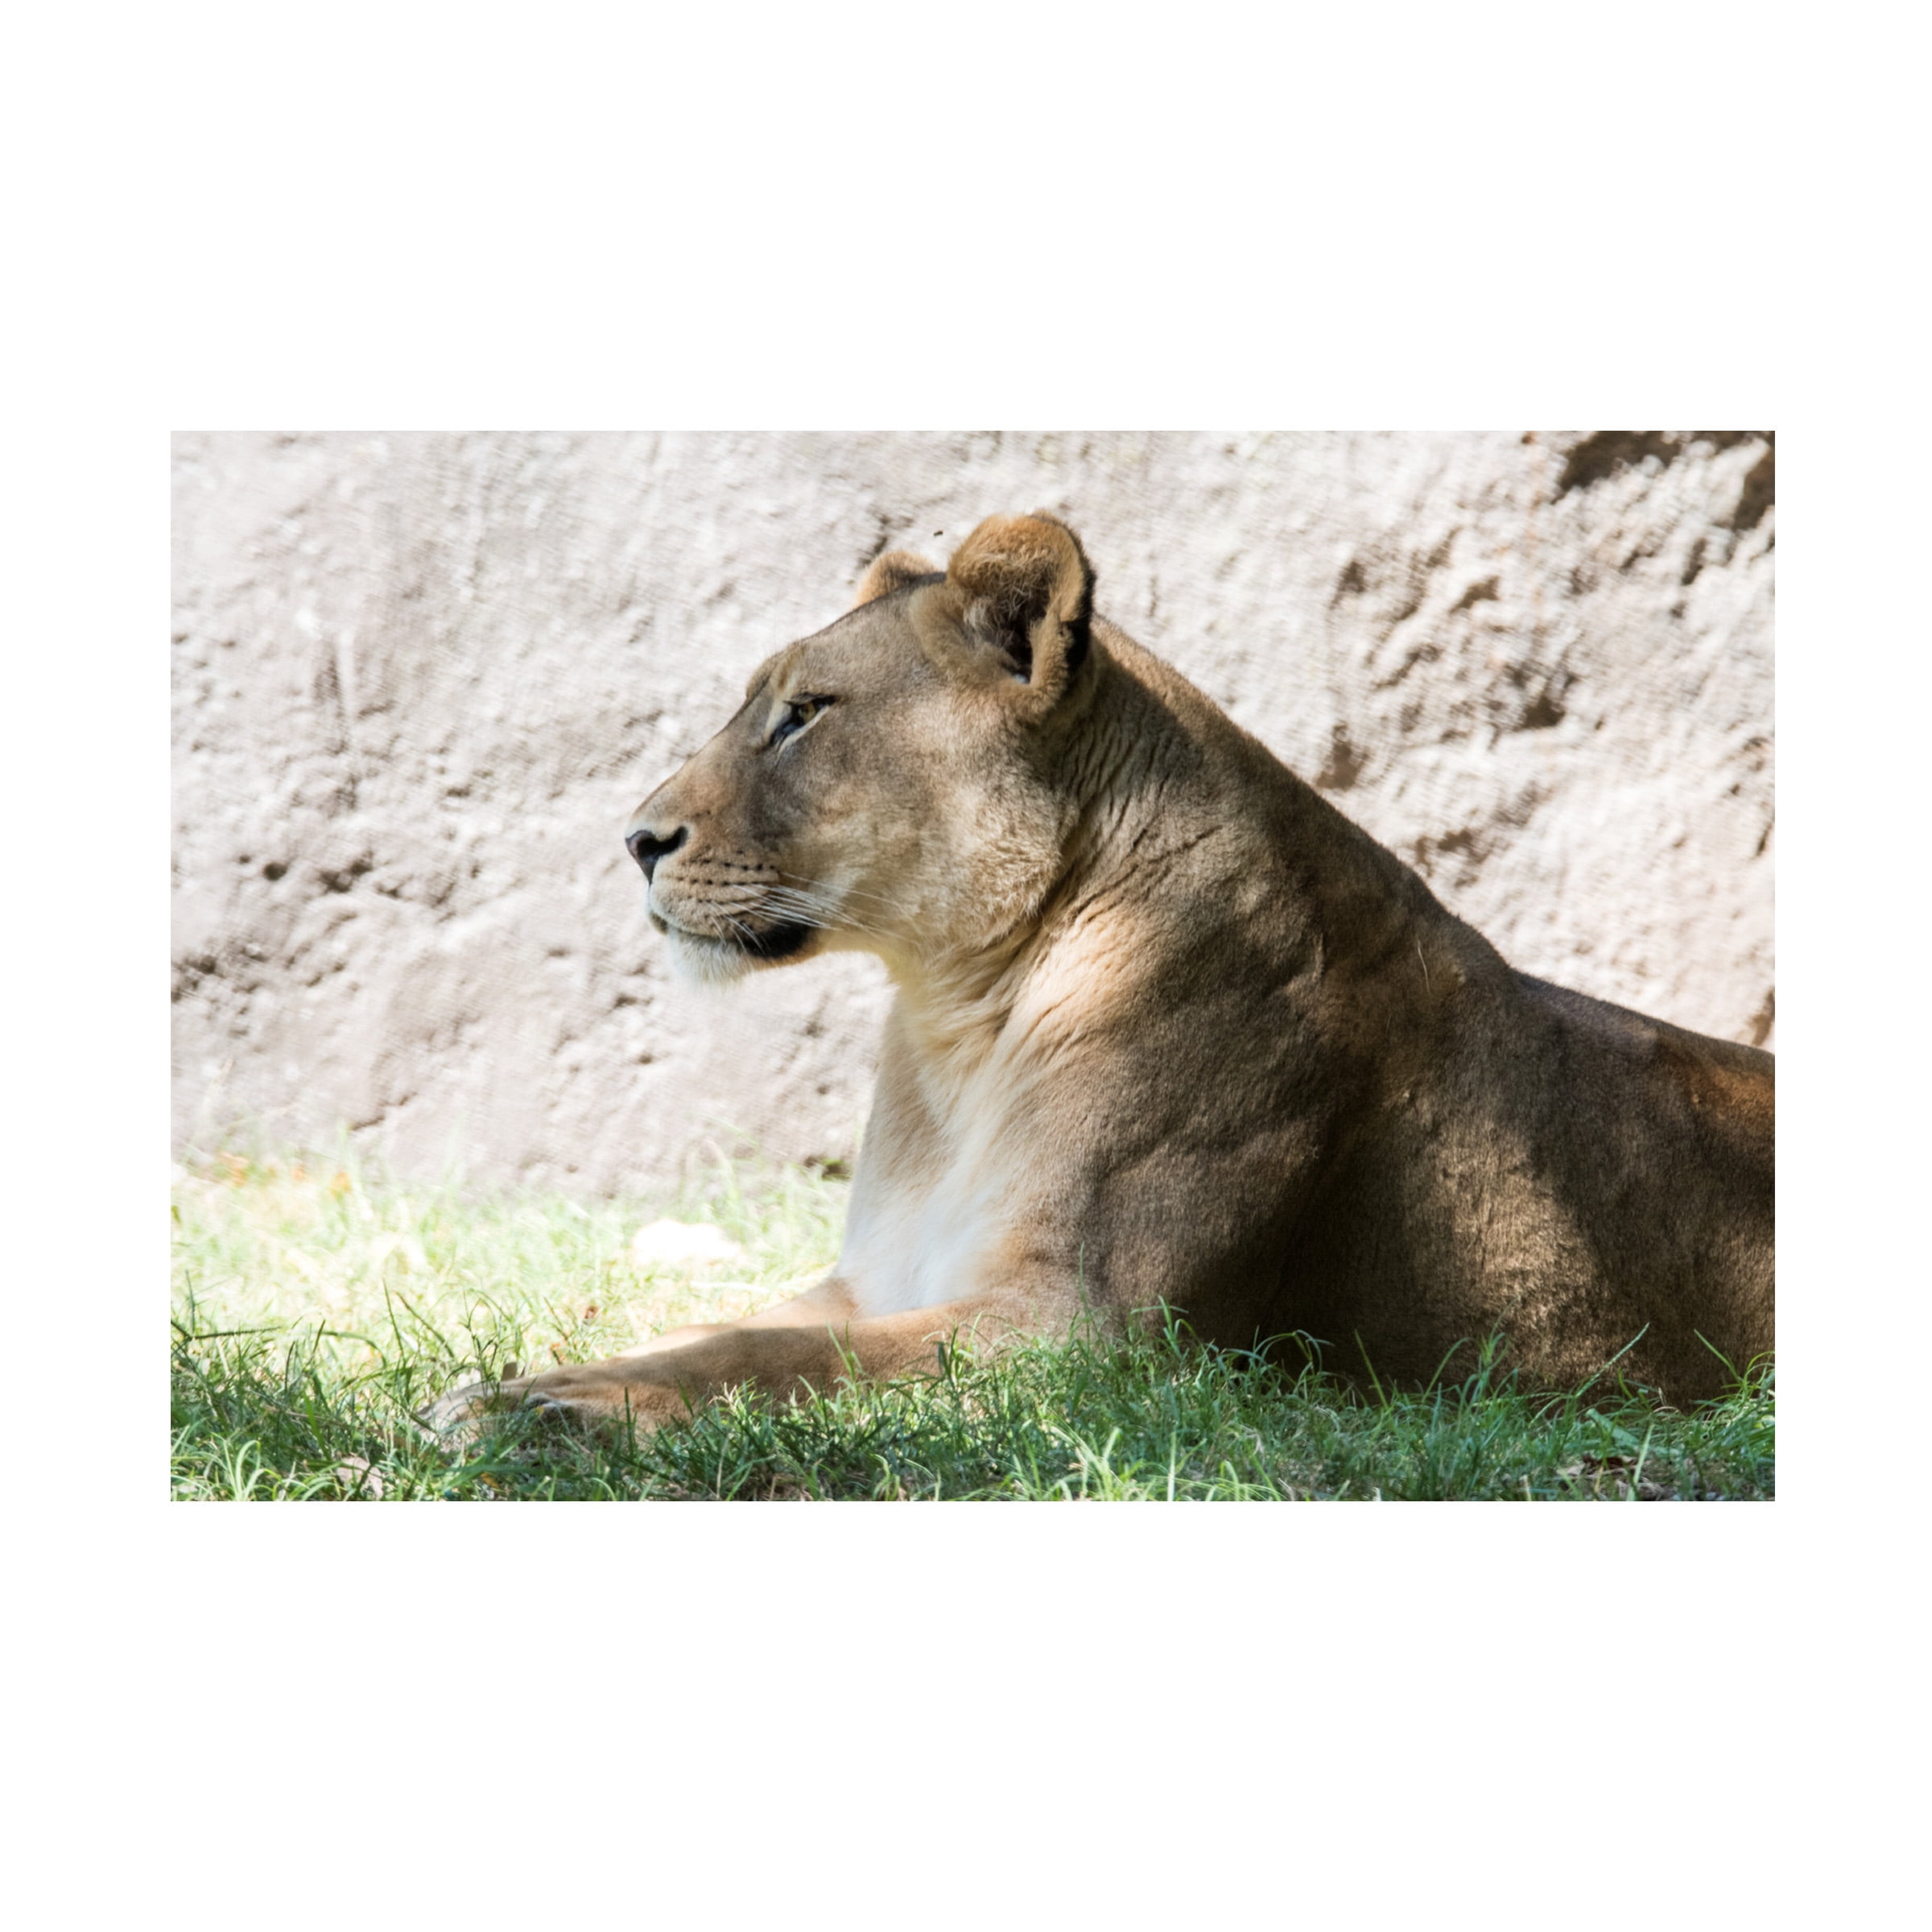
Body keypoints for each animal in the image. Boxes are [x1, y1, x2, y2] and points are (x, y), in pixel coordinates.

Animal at [430, 512, 1773, 1433]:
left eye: (807, 712)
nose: (636, 840)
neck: (958, 1028)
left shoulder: (1089, 1334)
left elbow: (768, 1360)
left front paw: (536, 1408)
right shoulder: (883, 1277)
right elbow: (714, 1326)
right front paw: (506, 1372)